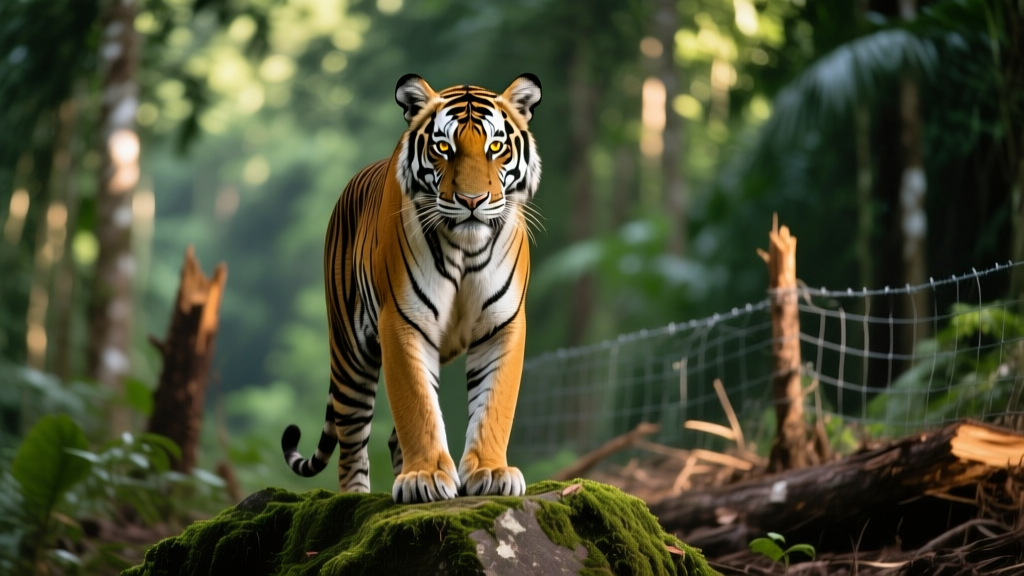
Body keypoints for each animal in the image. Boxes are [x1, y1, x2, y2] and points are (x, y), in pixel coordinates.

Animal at [281, 74, 543, 504]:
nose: (472, 200)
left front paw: (490, 472)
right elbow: (417, 406)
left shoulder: (501, 324)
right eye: (443, 147)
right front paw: (426, 477)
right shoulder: (403, 320)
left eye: (495, 147)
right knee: (352, 442)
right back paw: (355, 496)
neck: (466, 247)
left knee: (388, 437)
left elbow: (493, 404)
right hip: (350, 355)